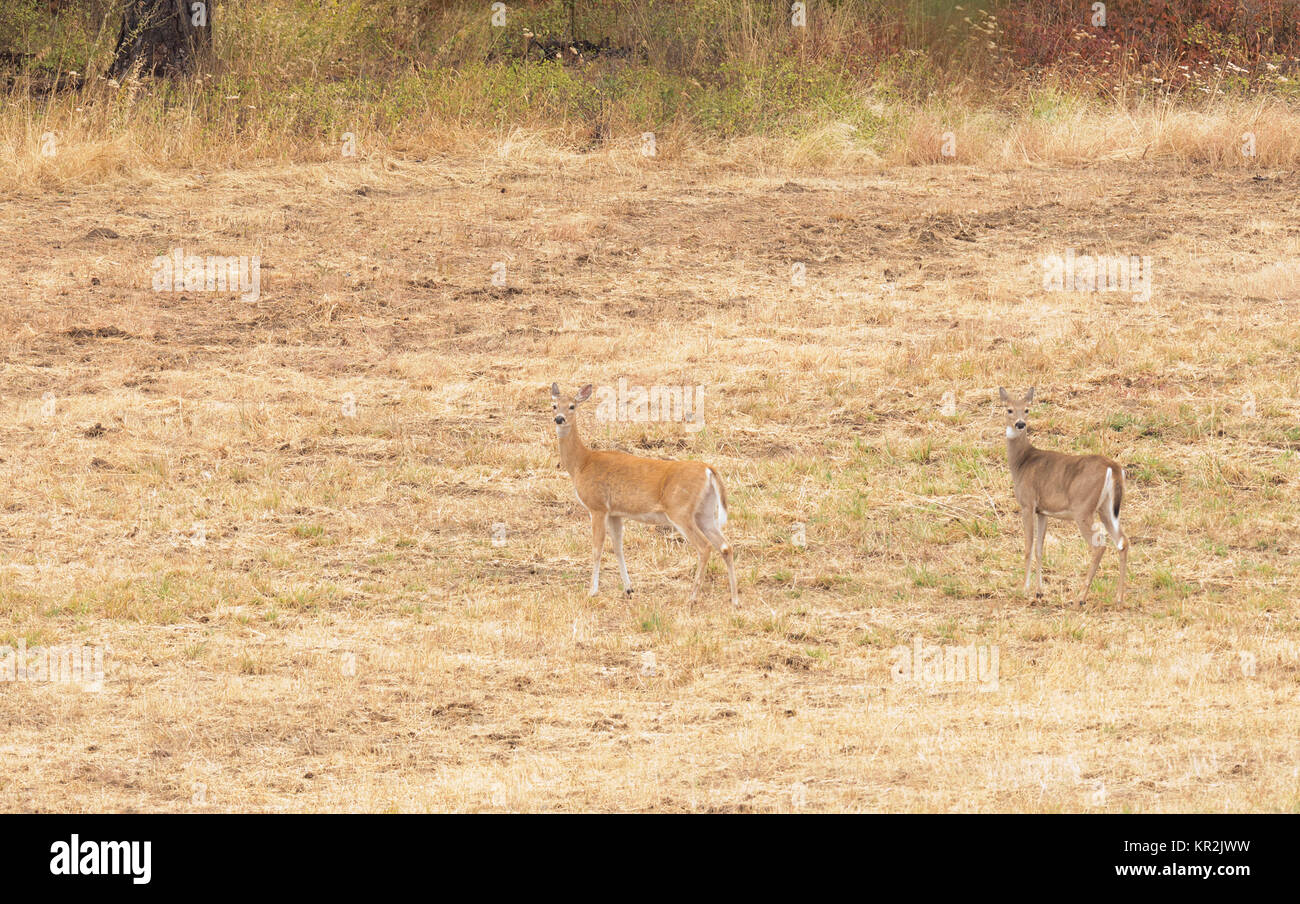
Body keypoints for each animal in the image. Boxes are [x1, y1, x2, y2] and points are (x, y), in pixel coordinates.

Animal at [550, 383, 738, 607]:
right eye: (554, 405)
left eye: (572, 406)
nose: (559, 418)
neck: (582, 463)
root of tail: (709, 470)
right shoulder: (615, 512)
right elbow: (618, 547)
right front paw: (628, 589)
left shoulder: (597, 506)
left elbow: (597, 549)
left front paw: (592, 591)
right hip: (705, 512)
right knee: (725, 546)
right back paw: (735, 599)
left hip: (680, 510)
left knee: (704, 547)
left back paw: (692, 597)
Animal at [1000, 387, 1128, 607]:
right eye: (1009, 409)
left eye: (1026, 409)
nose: (1020, 423)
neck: (1022, 462)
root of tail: (1113, 467)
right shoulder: (1042, 511)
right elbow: (1040, 549)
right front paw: (1039, 592)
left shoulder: (1027, 503)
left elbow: (1027, 547)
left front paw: (1024, 590)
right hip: (1106, 508)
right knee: (1122, 541)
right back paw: (1118, 598)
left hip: (1083, 507)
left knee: (1099, 546)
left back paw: (1080, 598)